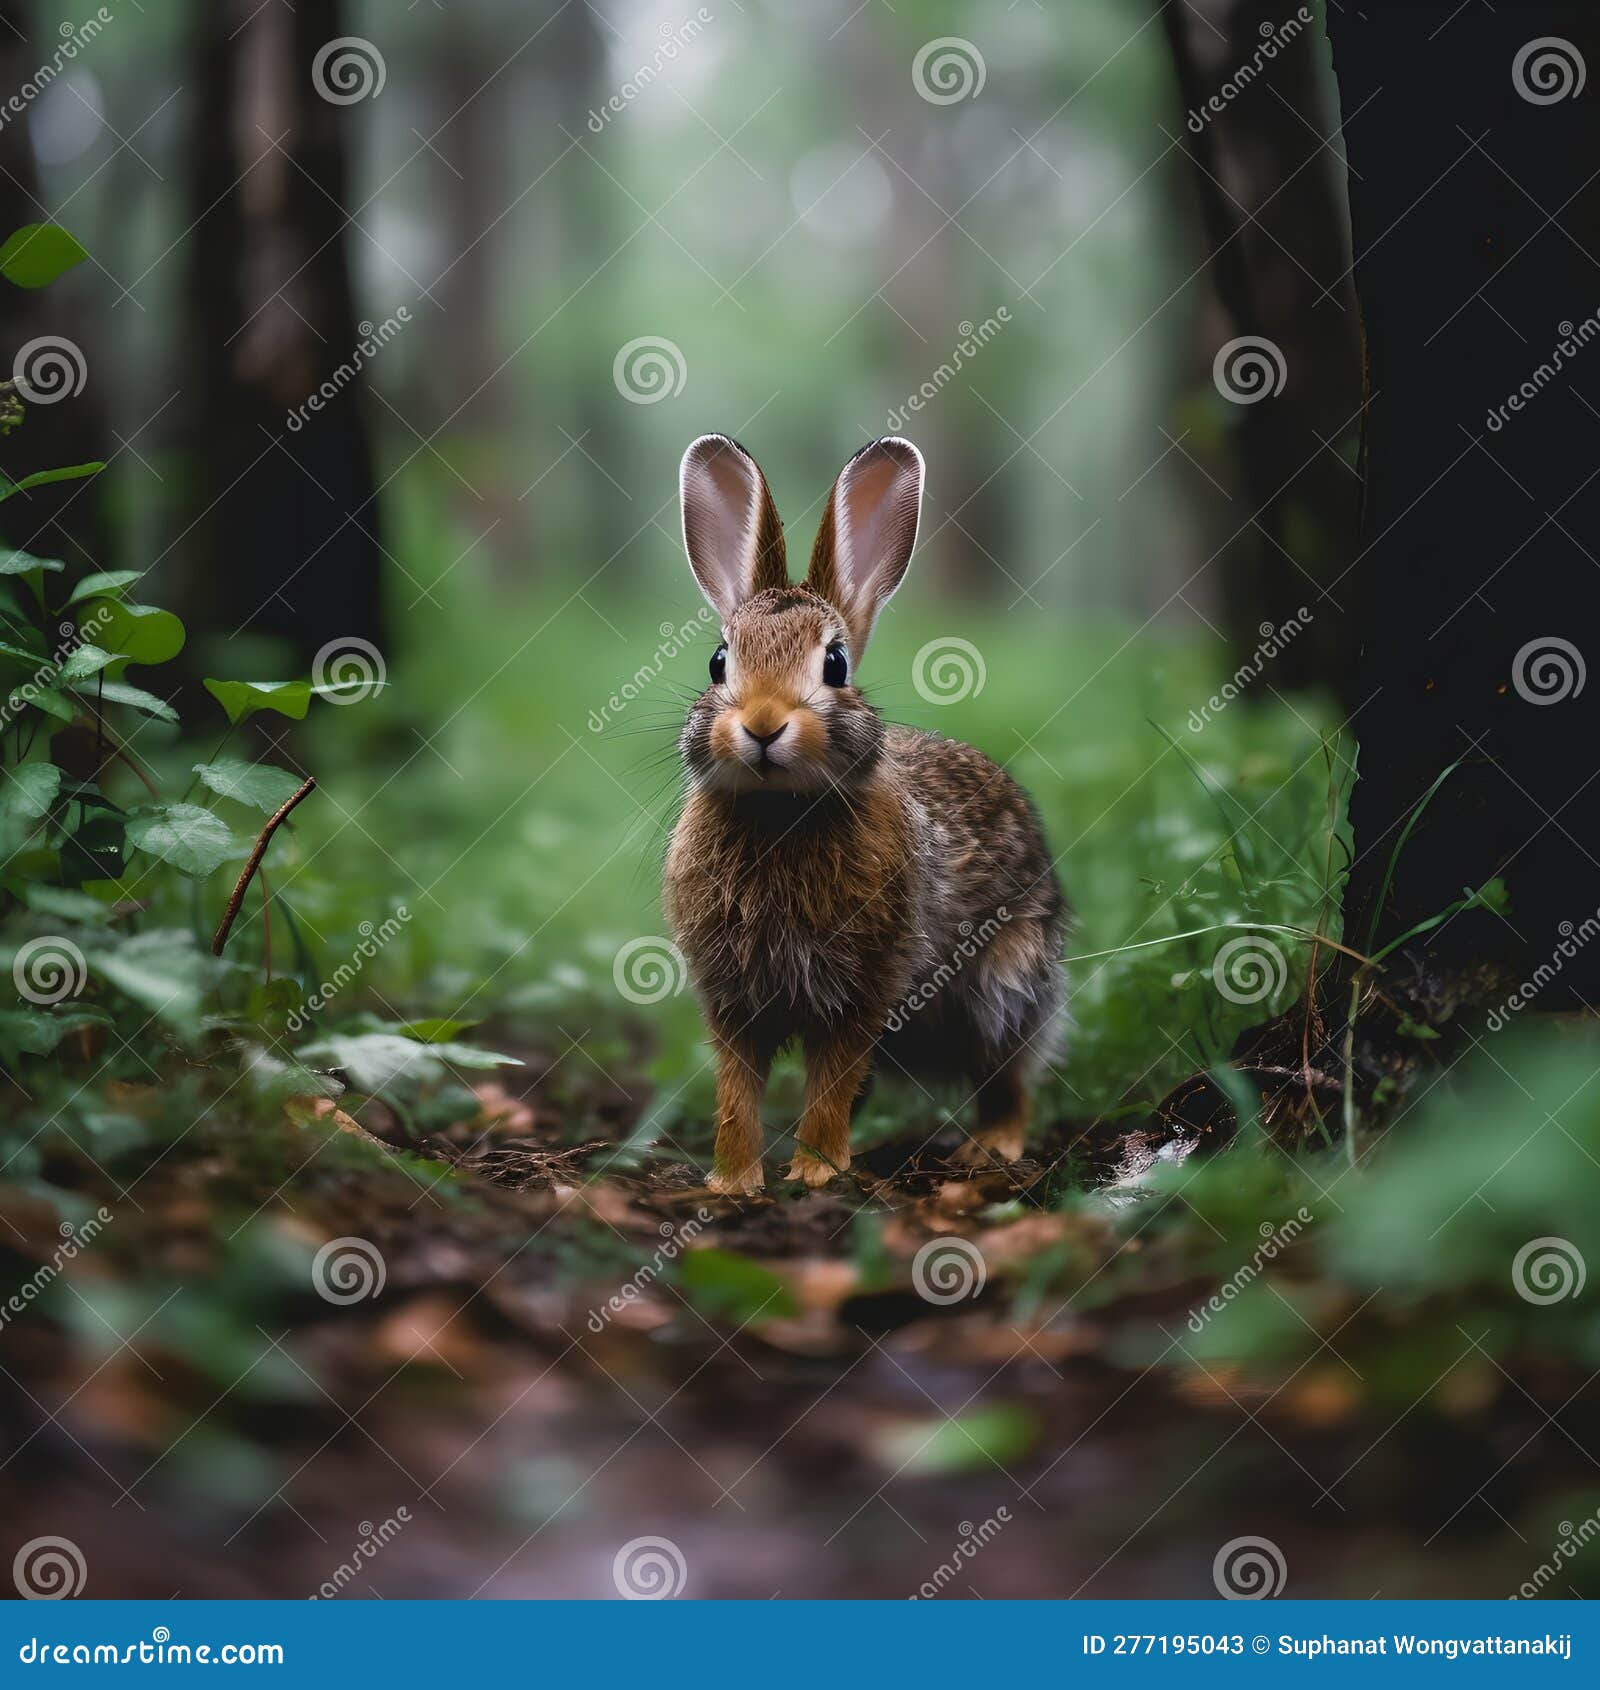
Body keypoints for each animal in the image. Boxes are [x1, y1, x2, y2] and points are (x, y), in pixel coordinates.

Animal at [664, 433, 1067, 1194]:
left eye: (836, 665)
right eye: (718, 661)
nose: (763, 724)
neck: (780, 815)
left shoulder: (866, 987)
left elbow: (832, 1075)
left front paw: (816, 1173)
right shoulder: (731, 997)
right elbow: (736, 1087)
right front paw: (733, 1180)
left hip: (1006, 982)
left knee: (1009, 1072)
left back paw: (989, 1148)